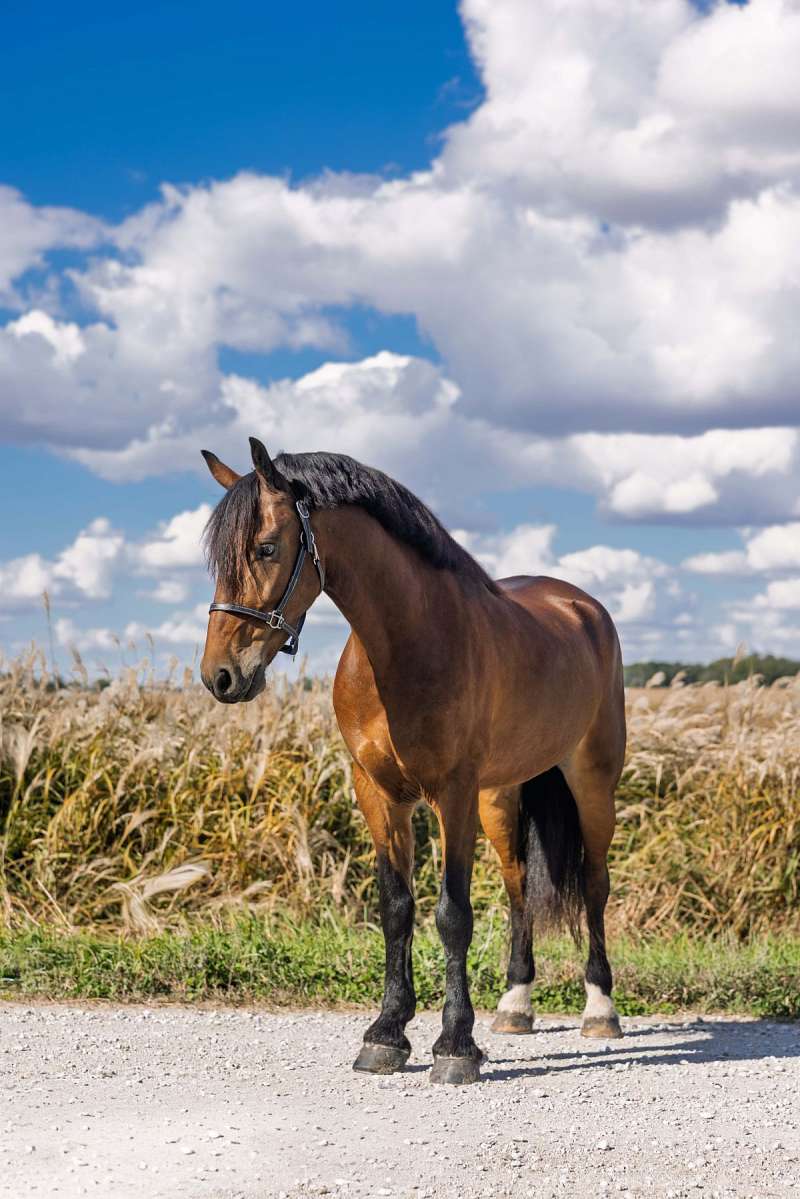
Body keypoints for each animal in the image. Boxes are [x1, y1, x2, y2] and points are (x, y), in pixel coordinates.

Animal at [199, 438, 627, 1085]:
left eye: (266, 548)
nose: (220, 677)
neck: (405, 644)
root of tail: (581, 606)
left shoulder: (452, 794)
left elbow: (452, 914)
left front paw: (455, 1045)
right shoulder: (378, 793)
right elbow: (396, 907)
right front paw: (386, 1034)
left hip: (592, 782)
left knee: (596, 884)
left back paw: (600, 1009)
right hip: (500, 797)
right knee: (519, 886)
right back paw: (516, 1005)